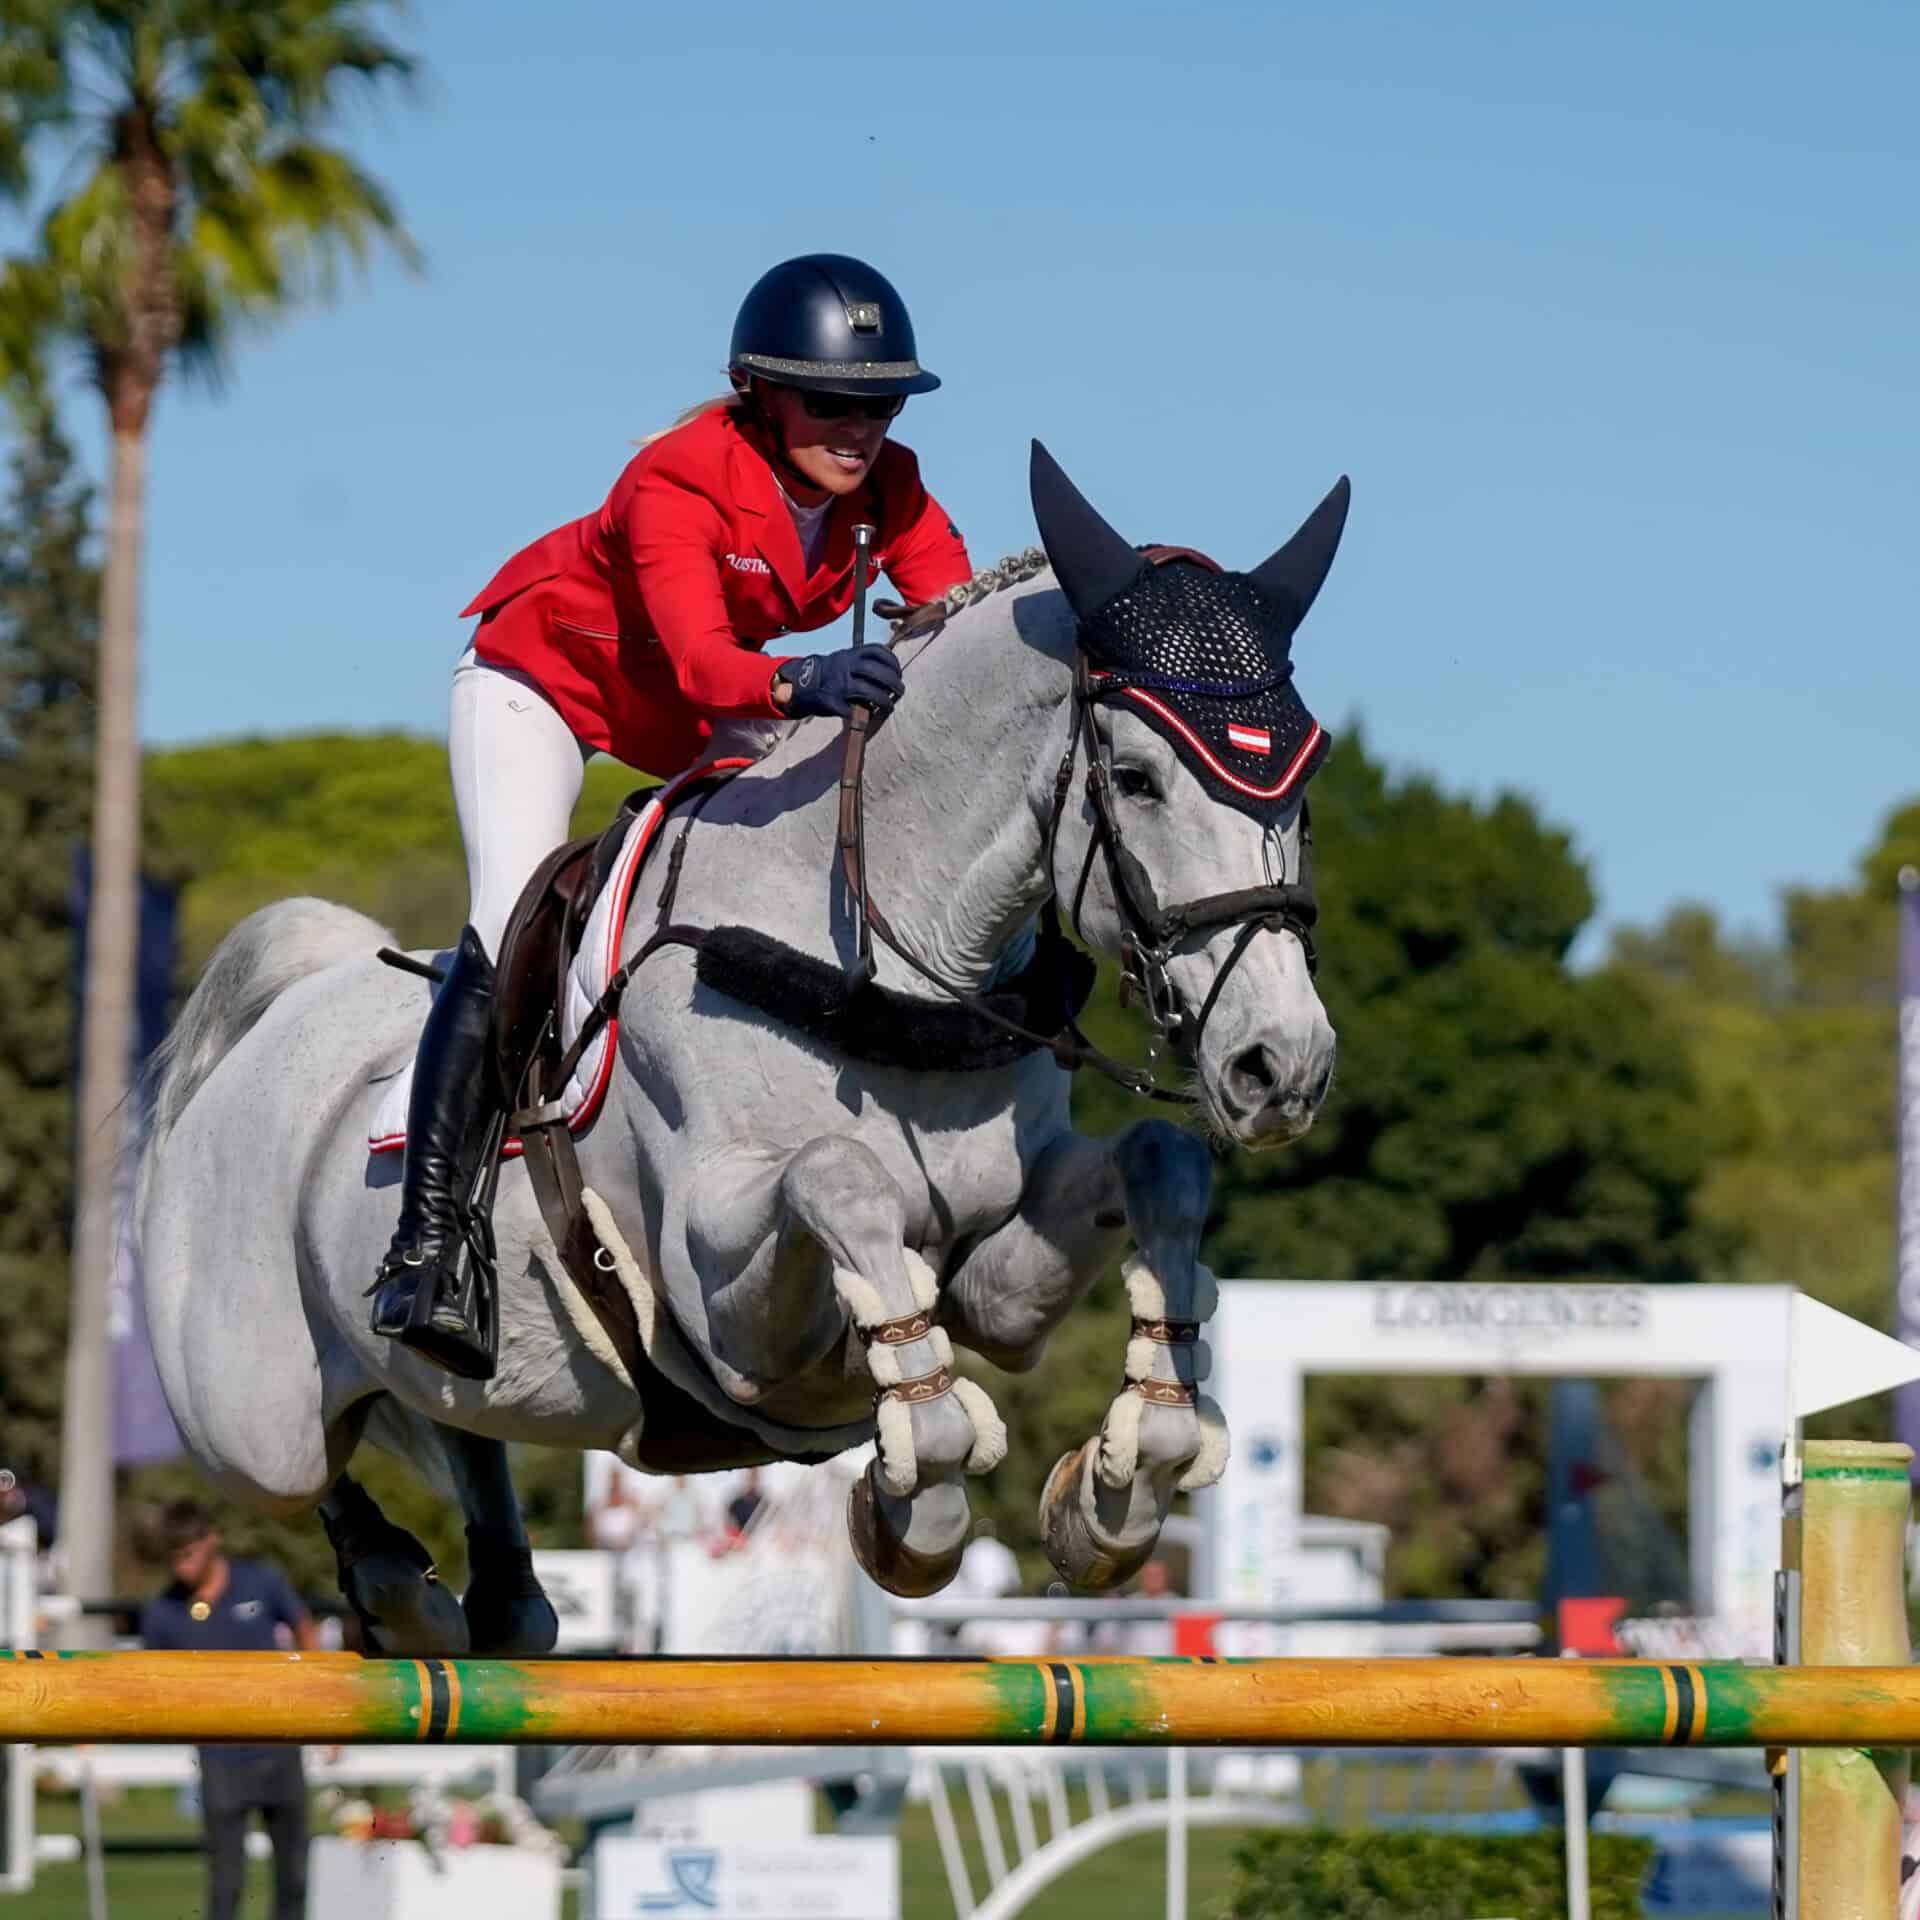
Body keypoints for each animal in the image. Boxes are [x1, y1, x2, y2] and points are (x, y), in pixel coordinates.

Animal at [136, 445, 1346, 1653]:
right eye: (1136, 778)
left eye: (1304, 777)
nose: (1280, 1066)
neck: (887, 964)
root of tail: (282, 1019)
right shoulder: (719, 1303)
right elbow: (840, 1181)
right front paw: (917, 1508)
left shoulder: (999, 1269)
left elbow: (1155, 1164)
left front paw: (1123, 1479)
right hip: (251, 1414)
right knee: (302, 1468)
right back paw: (401, 1583)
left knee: (452, 1423)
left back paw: (500, 1596)